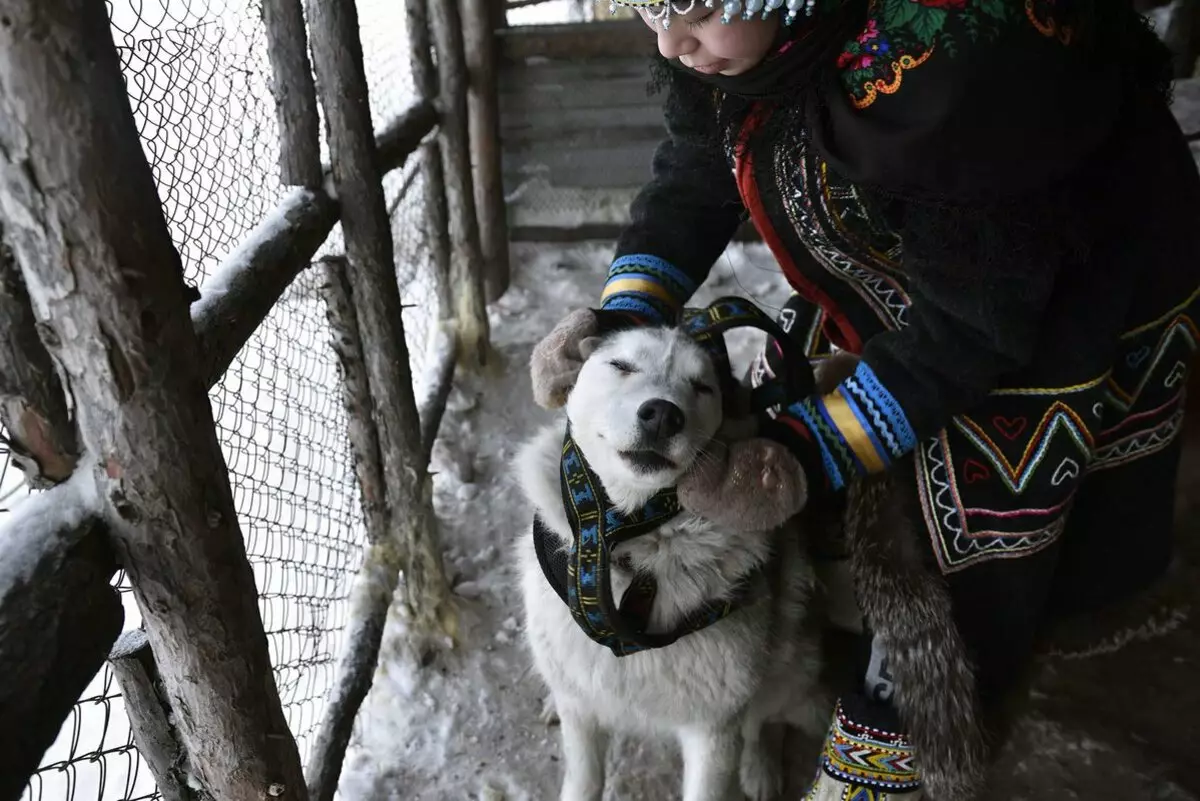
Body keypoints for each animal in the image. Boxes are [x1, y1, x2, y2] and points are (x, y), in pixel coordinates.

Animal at [511, 326, 830, 801]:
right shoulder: (582, 711)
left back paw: (760, 769)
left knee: (764, 722)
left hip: (787, 662)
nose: (662, 414)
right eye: (622, 365)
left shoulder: (714, 729)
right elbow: (583, 778)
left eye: (702, 387)